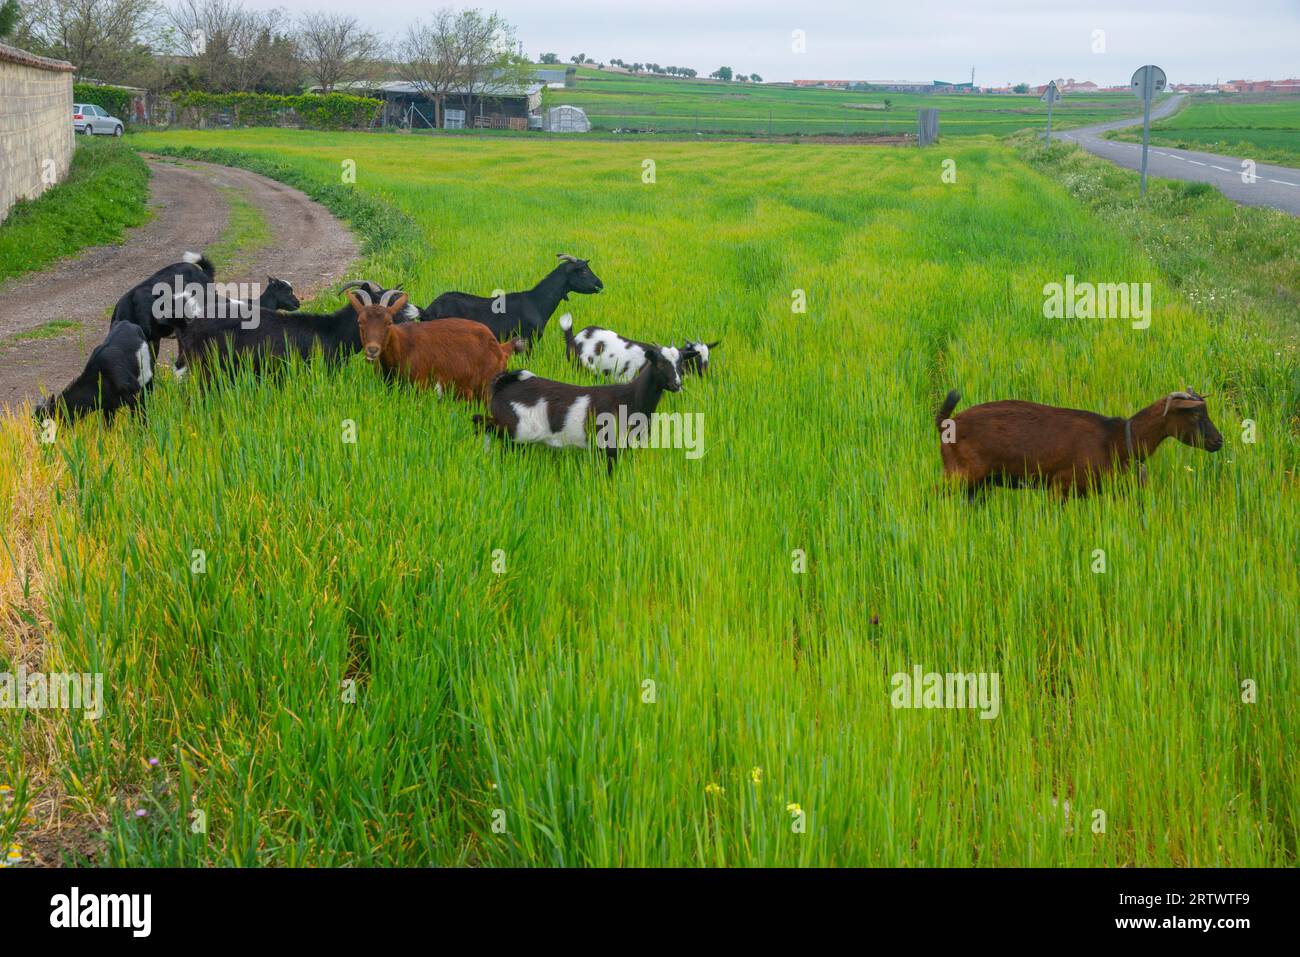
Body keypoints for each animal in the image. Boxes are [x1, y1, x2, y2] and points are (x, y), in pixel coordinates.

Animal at [353, 291, 523, 400]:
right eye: (360, 322)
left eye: (389, 322)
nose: (372, 350)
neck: (402, 344)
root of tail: (500, 348)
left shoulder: (419, 386)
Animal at [475, 346, 682, 474]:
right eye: (660, 364)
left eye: (679, 365)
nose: (677, 384)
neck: (629, 399)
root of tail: (502, 385)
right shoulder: (608, 446)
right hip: (514, 429)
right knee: (484, 425)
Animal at [935, 388, 1223, 497]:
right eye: (1195, 414)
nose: (1218, 441)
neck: (1117, 439)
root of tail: (945, 423)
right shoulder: (1060, 486)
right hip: (958, 475)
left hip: (977, 484)